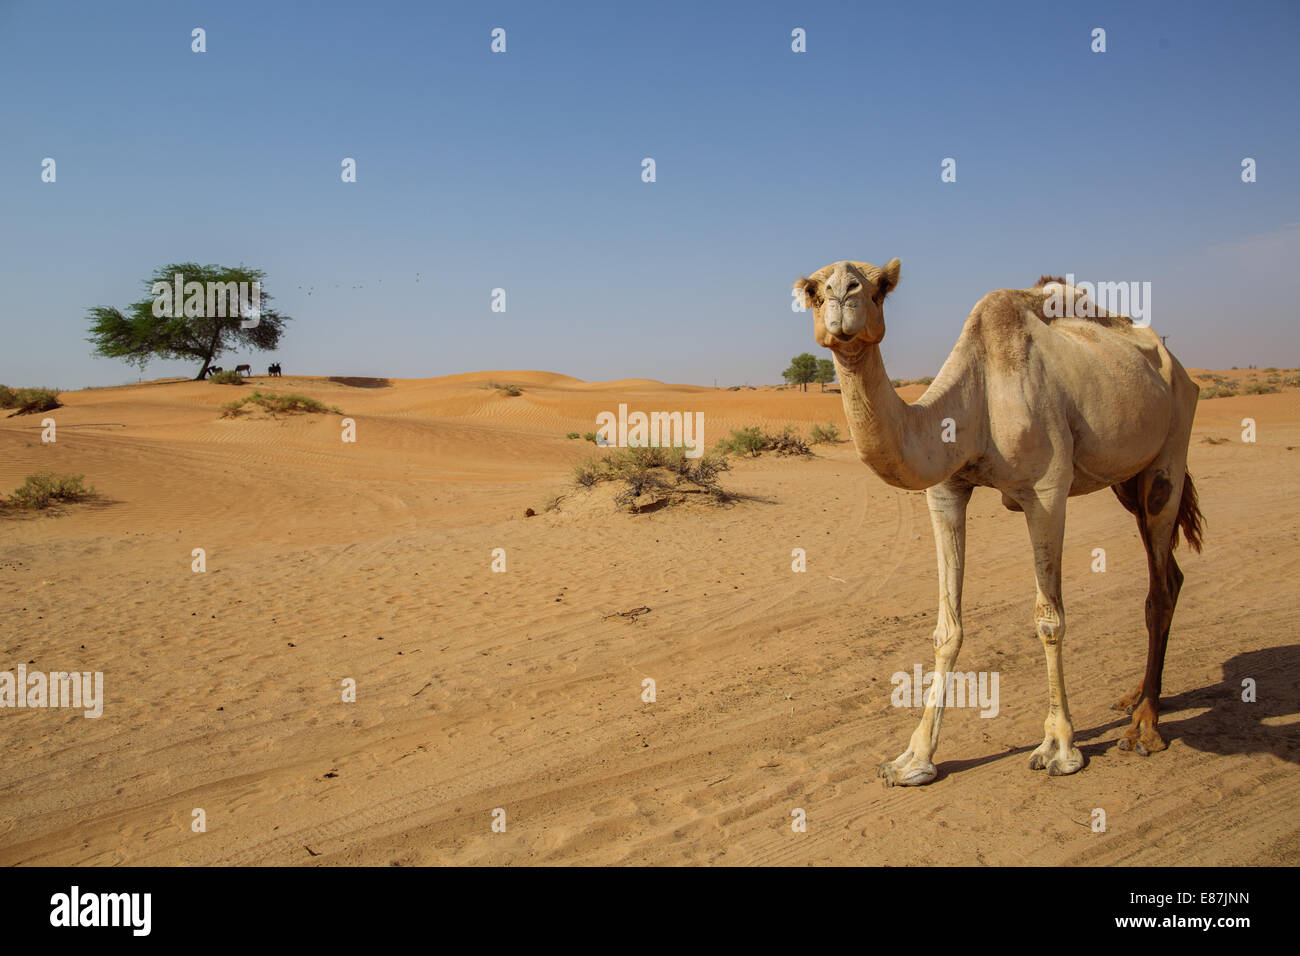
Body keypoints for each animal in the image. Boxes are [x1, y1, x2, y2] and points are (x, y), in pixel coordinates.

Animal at [793, 260, 1204, 785]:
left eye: (879, 288)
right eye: (812, 290)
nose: (841, 296)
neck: (977, 396)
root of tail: (1177, 366)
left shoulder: (1047, 492)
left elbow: (1049, 619)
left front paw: (1059, 748)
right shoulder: (946, 489)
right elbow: (947, 628)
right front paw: (913, 759)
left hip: (1170, 448)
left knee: (1160, 582)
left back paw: (1145, 726)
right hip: (1126, 479)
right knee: (1170, 573)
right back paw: (1135, 698)